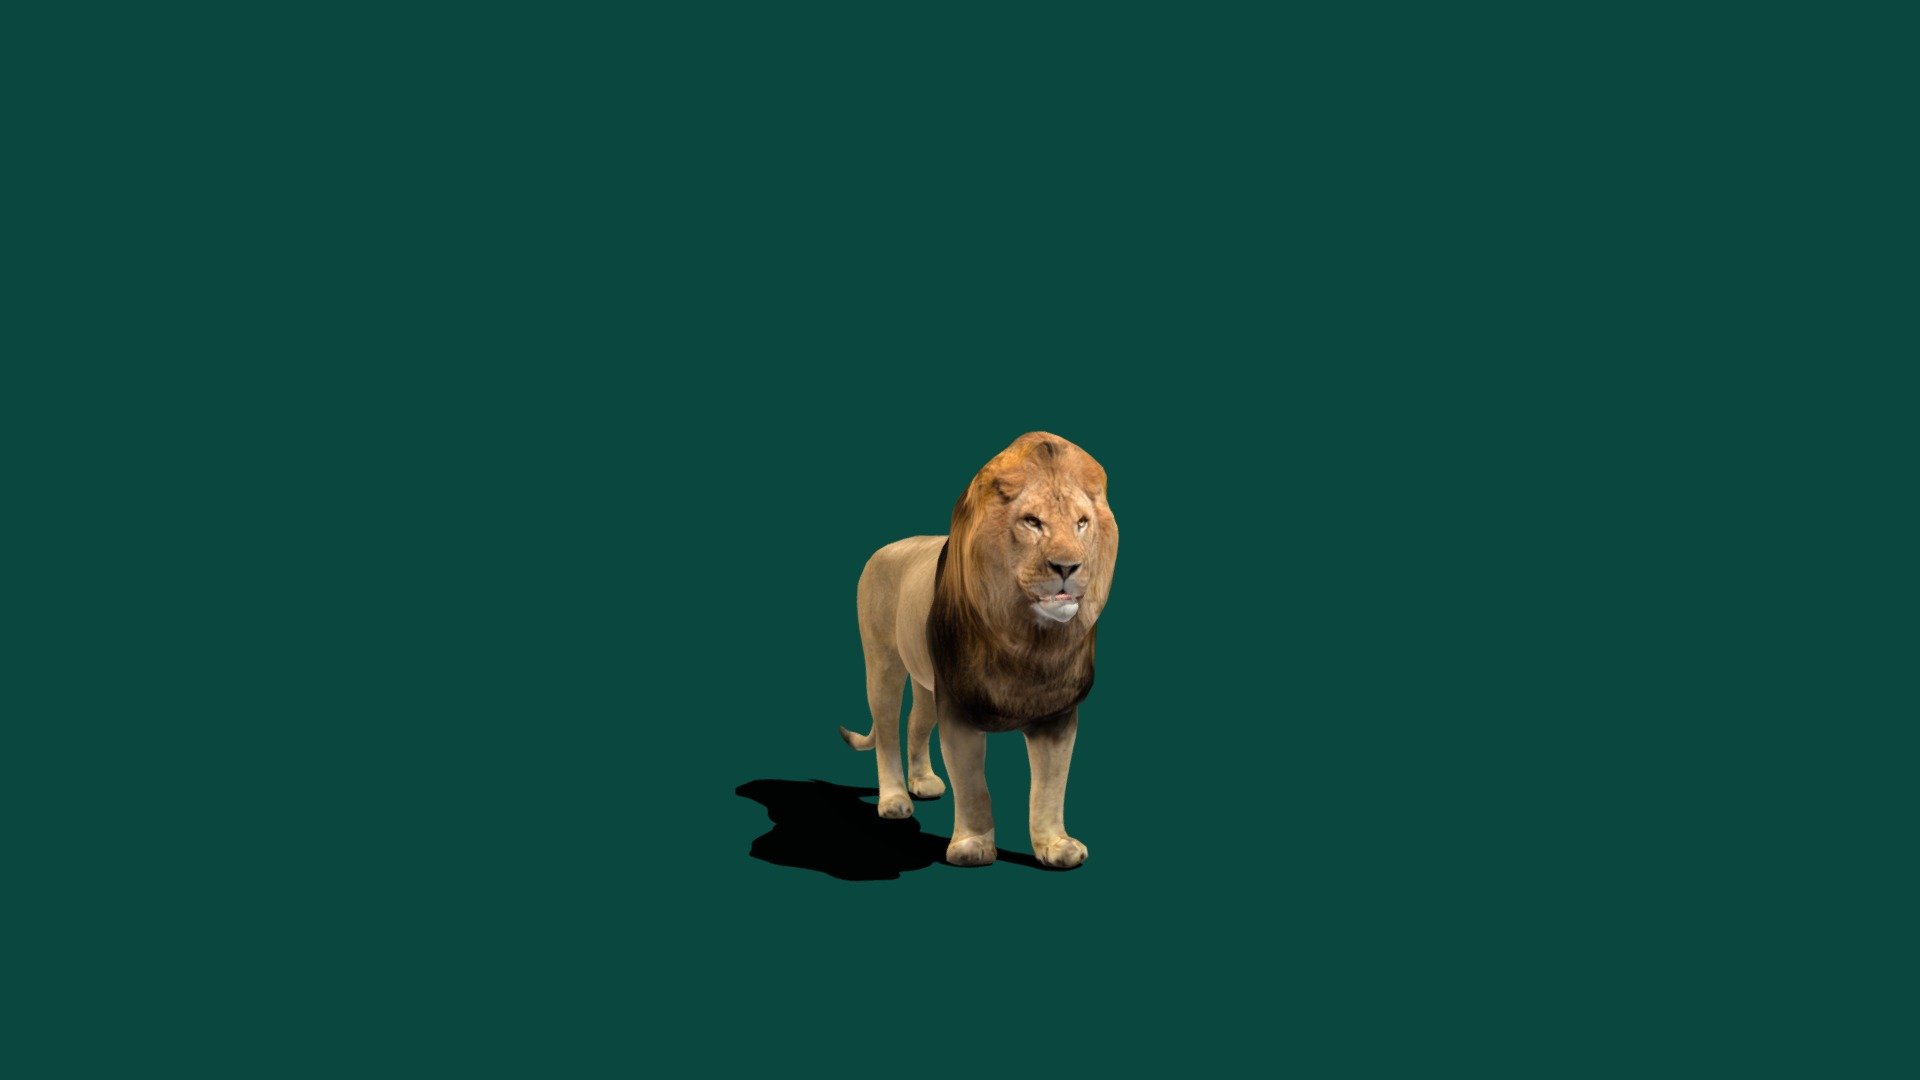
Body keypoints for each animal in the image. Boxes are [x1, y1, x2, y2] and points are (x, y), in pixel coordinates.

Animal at [839, 432, 1118, 868]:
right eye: (1032, 521)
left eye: (1081, 522)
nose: (1067, 566)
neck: (1029, 641)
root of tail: (888, 547)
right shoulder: (958, 709)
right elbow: (972, 786)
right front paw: (972, 846)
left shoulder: (1058, 715)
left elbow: (1050, 788)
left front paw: (1056, 846)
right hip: (883, 663)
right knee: (885, 730)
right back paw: (896, 799)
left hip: (927, 683)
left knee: (916, 722)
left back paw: (923, 782)